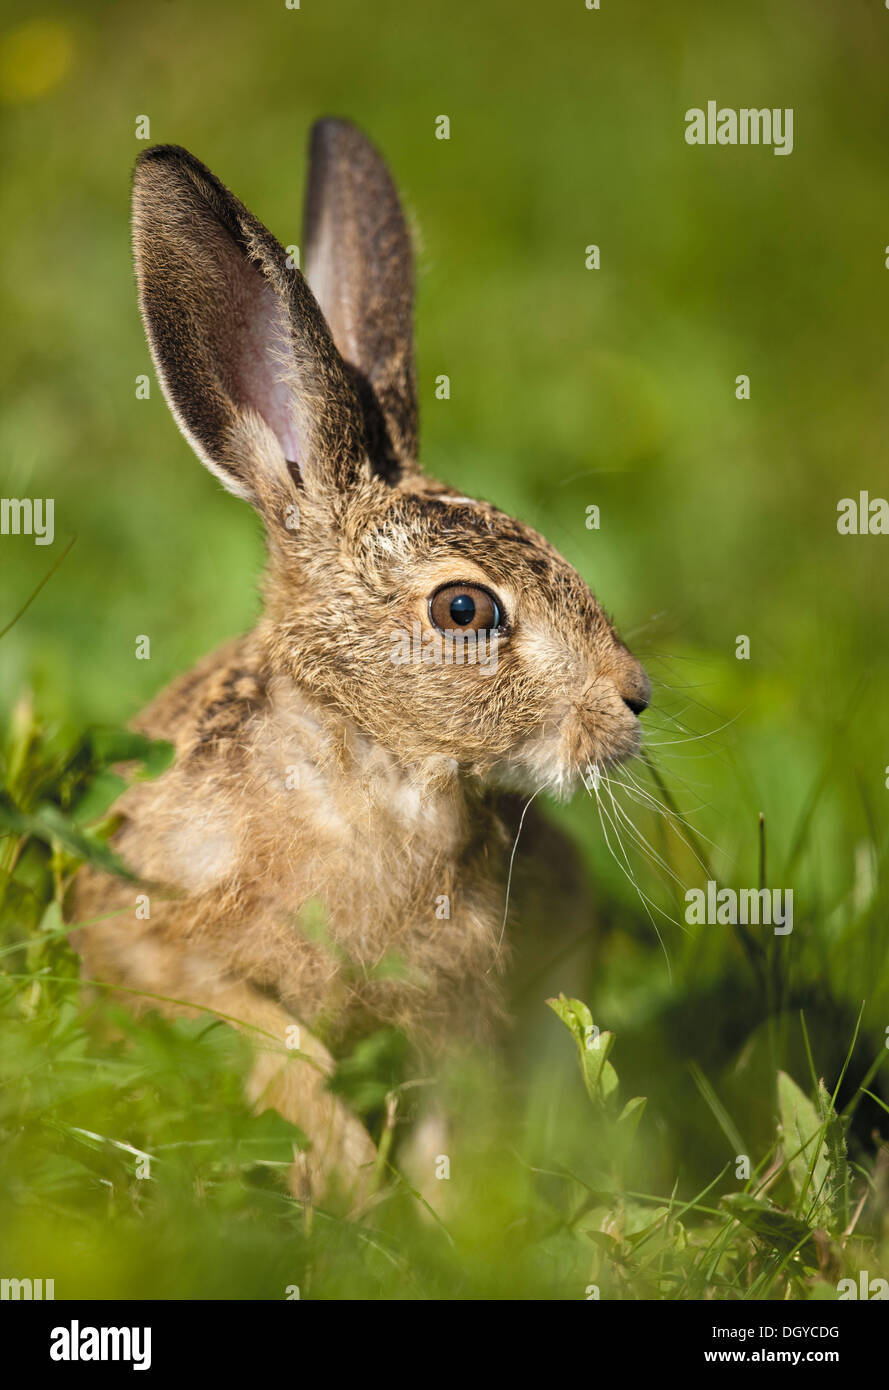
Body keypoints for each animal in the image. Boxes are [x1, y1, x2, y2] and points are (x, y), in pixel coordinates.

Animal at [70, 118, 650, 1208]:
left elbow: (451, 1113)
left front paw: (439, 1216)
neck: (374, 768)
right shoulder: (153, 940)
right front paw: (345, 1180)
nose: (633, 700)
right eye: (464, 608)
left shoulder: (459, 1008)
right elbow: (279, 1044)